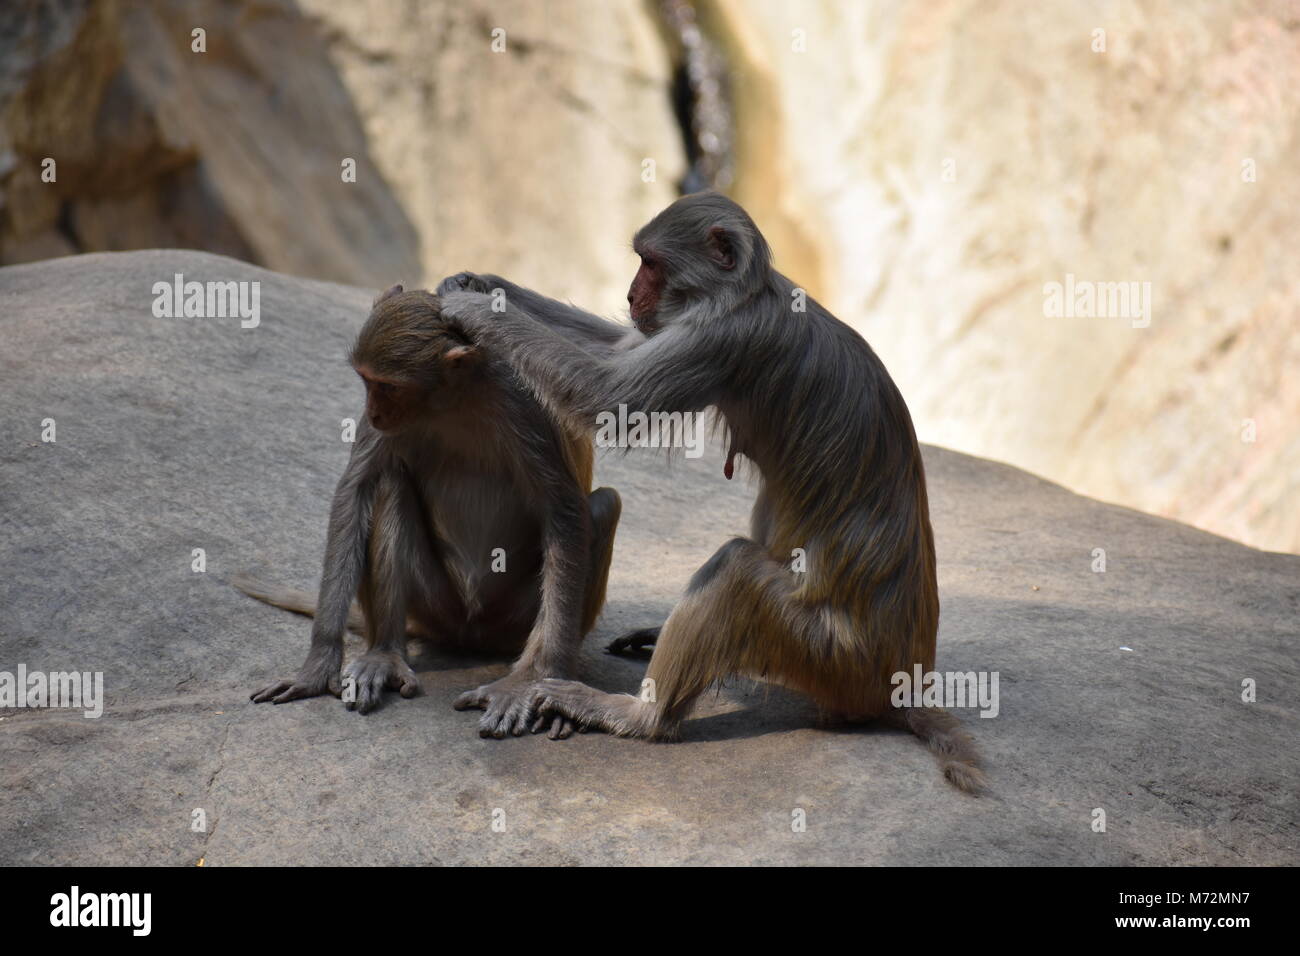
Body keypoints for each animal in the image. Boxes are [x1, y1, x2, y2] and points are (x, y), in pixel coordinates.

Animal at [241, 285, 622, 739]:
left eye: (388, 386)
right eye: (366, 382)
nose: (373, 412)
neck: (456, 399)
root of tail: (470, 634)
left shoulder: (524, 403)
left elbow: (563, 509)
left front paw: (543, 683)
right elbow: (355, 490)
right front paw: (318, 665)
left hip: (511, 618)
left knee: (601, 507)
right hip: (434, 604)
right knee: (390, 483)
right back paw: (384, 654)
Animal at [436, 192, 984, 791]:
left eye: (651, 263)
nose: (631, 294)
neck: (747, 293)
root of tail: (899, 681)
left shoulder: (722, 338)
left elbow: (607, 394)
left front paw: (471, 308)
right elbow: (620, 347)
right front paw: (481, 283)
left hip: (827, 654)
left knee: (736, 568)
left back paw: (639, 716)